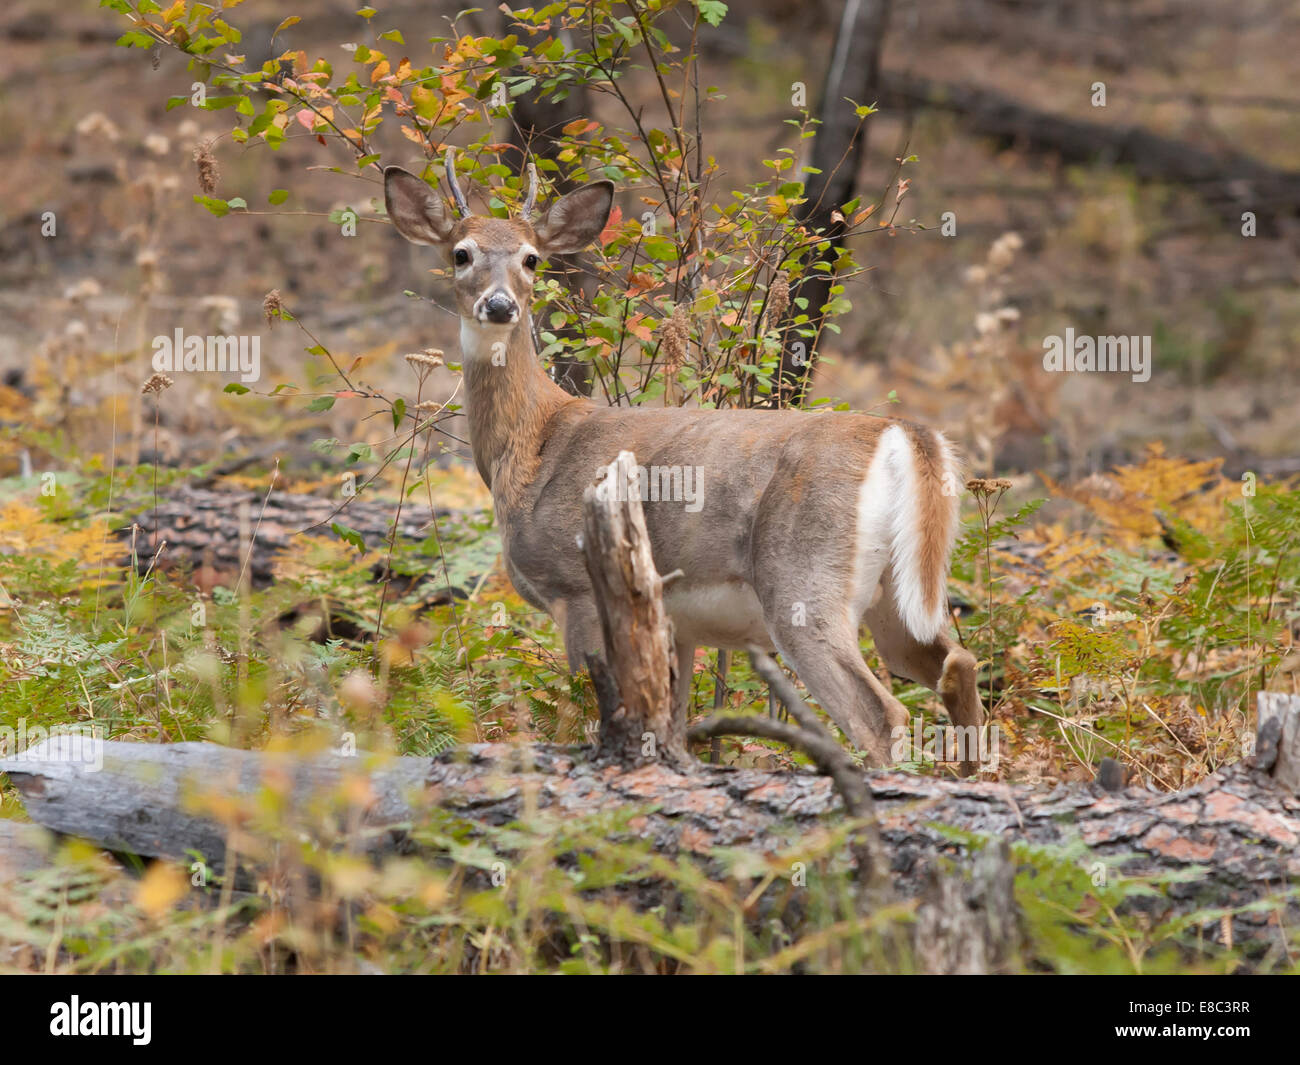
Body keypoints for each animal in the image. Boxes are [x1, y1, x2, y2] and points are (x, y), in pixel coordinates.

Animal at [383, 150, 985, 768]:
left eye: (531, 258)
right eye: (461, 253)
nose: (500, 305)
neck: (532, 445)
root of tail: (904, 434)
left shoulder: (574, 588)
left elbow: (580, 711)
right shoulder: (679, 625)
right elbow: (669, 724)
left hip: (803, 579)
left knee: (881, 714)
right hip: (895, 596)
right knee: (959, 664)